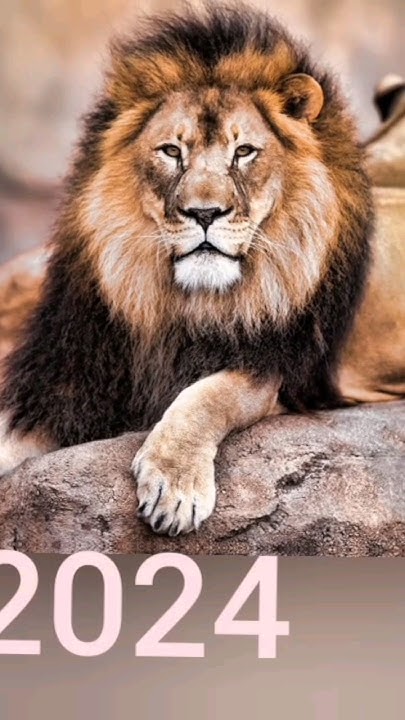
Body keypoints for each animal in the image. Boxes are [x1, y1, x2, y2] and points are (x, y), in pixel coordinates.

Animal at [0, 5, 380, 536]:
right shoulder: (66, 385)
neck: (187, 305)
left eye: (243, 152)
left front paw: (173, 484)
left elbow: (208, 395)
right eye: (171, 152)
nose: (204, 213)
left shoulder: (275, 368)